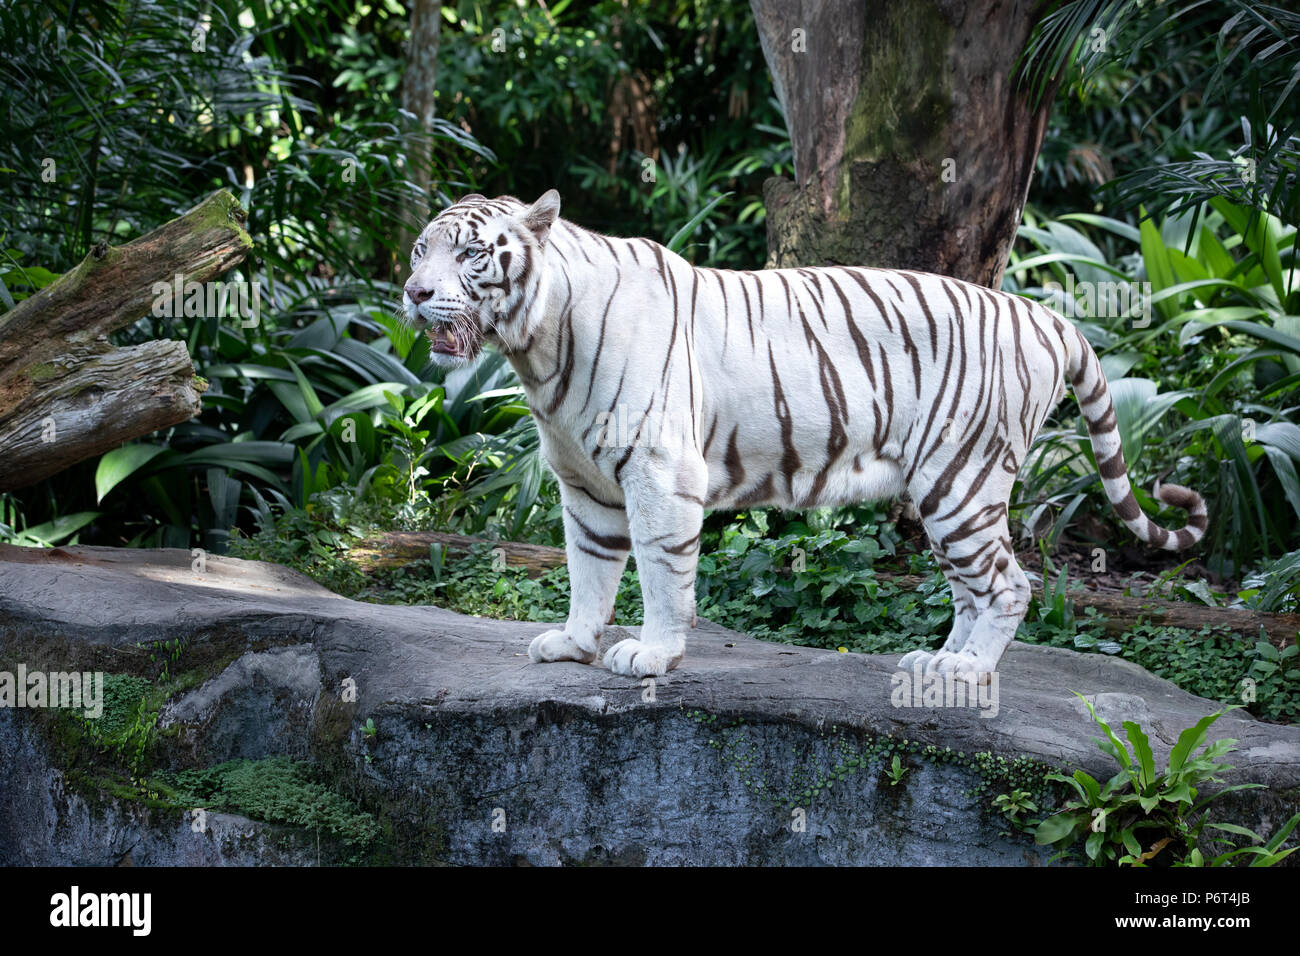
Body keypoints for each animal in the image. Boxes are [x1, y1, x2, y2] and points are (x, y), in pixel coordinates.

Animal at [401, 189, 1207, 683]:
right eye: (419, 250)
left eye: (472, 254)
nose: (413, 292)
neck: (536, 347)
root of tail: (1045, 314)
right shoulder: (585, 484)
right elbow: (589, 569)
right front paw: (572, 644)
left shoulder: (660, 472)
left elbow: (661, 573)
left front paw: (652, 656)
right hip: (948, 495)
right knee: (971, 588)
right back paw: (933, 663)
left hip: (962, 479)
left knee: (1010, 585)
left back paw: (968, 672)